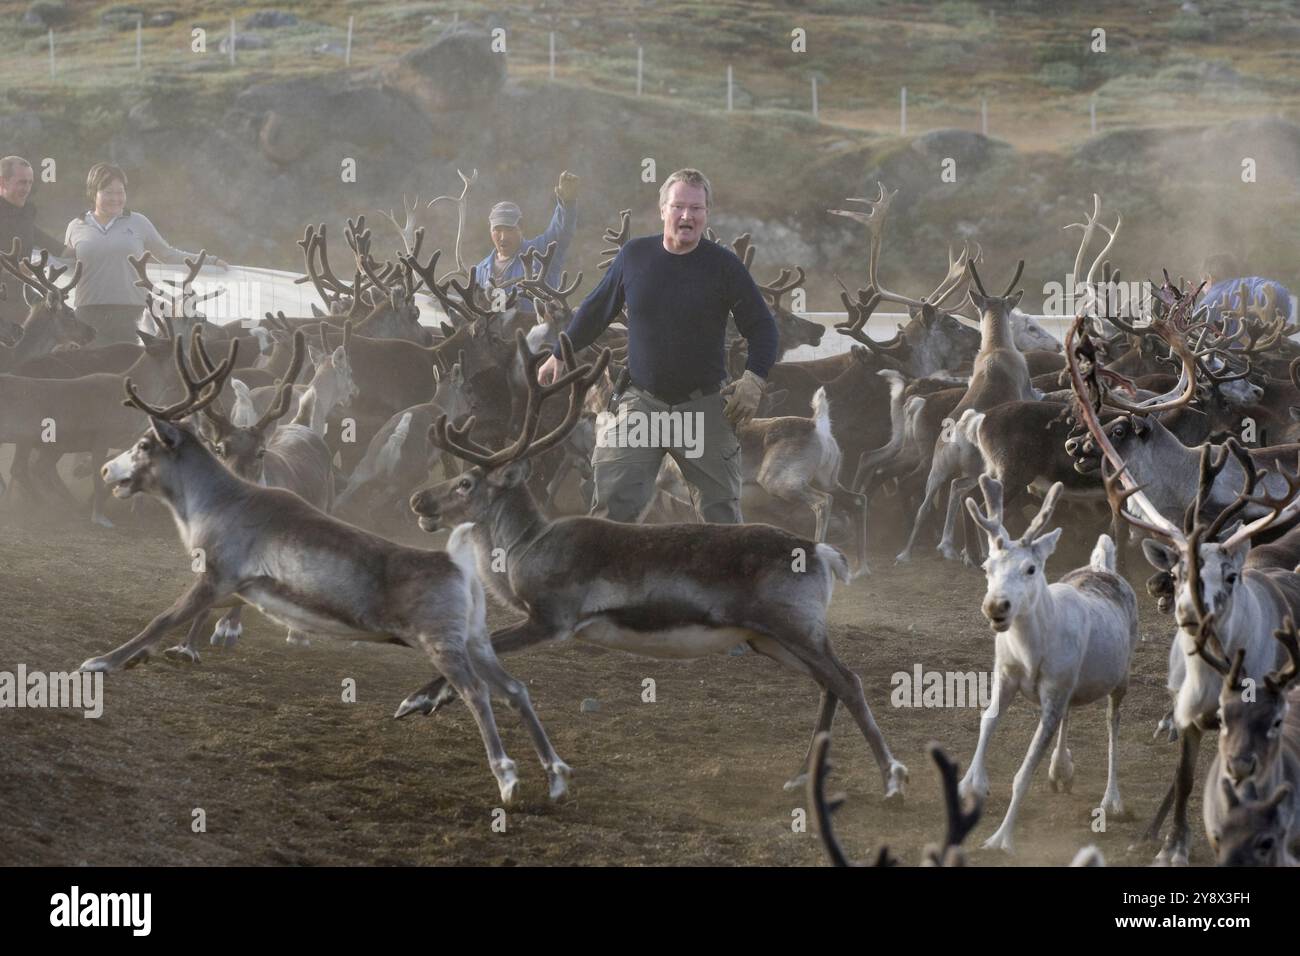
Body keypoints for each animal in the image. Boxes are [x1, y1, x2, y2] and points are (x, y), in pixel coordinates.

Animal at [87, 334, 568, 806]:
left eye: (144, 445)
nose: (107, 467)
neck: (210, 500)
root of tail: (460, 568)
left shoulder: (218, 575)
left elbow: (160, 618)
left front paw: (102, 662)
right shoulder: (235, 584)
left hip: (442, 642)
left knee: (478, 692)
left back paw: (507, 776)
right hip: (476, 640)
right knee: (515, 689)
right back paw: (556, 775)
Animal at [405, 330, 909, 803]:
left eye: (466, 482)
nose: (418, 499)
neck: (524, 547)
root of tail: (822, 554)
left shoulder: (552, 617)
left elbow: (480, 648)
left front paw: (418, 698)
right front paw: (428, 698)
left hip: (795, 625)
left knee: (849, 680)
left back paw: (891, 777)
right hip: (771, 637)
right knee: (829, 685)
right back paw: (802, 774)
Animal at [956, 475, 1138, 853]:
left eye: (1030, 568)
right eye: (986, 567)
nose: (996, 606)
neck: (1029, 653)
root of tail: (1104, 566)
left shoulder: (1053, 695)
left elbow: (1023, 774)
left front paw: (1000, 839)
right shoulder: (1005, 676)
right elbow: (986, 719)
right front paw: (971, 784)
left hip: (1122, 674)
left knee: (1113, 723)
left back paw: (1112, 799)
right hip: (1072, 683)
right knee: (1072, 711)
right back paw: (1060, 771)